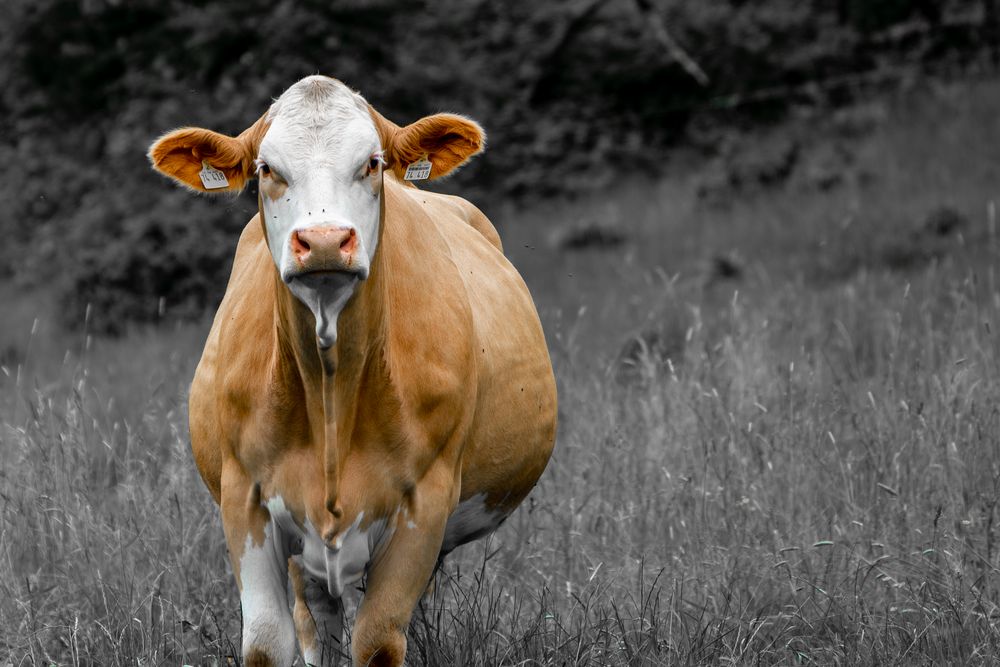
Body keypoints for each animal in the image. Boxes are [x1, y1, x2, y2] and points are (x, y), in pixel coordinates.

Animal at [147, 75, 557, 667]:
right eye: (267, 168)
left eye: (372, 163)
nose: (322, 241)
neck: (330, 388)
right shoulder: (243, 498)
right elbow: (267, 642)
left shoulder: (425, 504)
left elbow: (380, 640)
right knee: (316, 615)